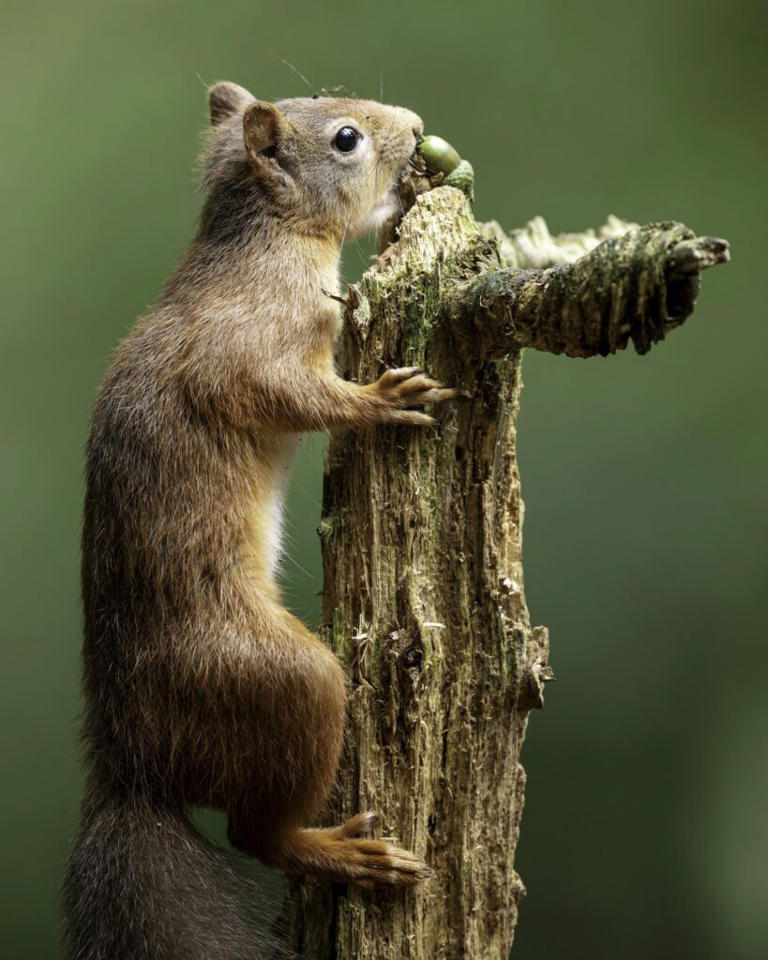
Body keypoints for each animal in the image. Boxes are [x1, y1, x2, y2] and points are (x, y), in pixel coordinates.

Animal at [62, 81, 456, 960]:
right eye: (345, 138)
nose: (418, 129)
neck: (273, 237)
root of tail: (134, 762)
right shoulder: (250, 340)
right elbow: (280, 390)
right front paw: (379, 400)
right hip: (276, 681)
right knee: (254, 835)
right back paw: (334, 851)